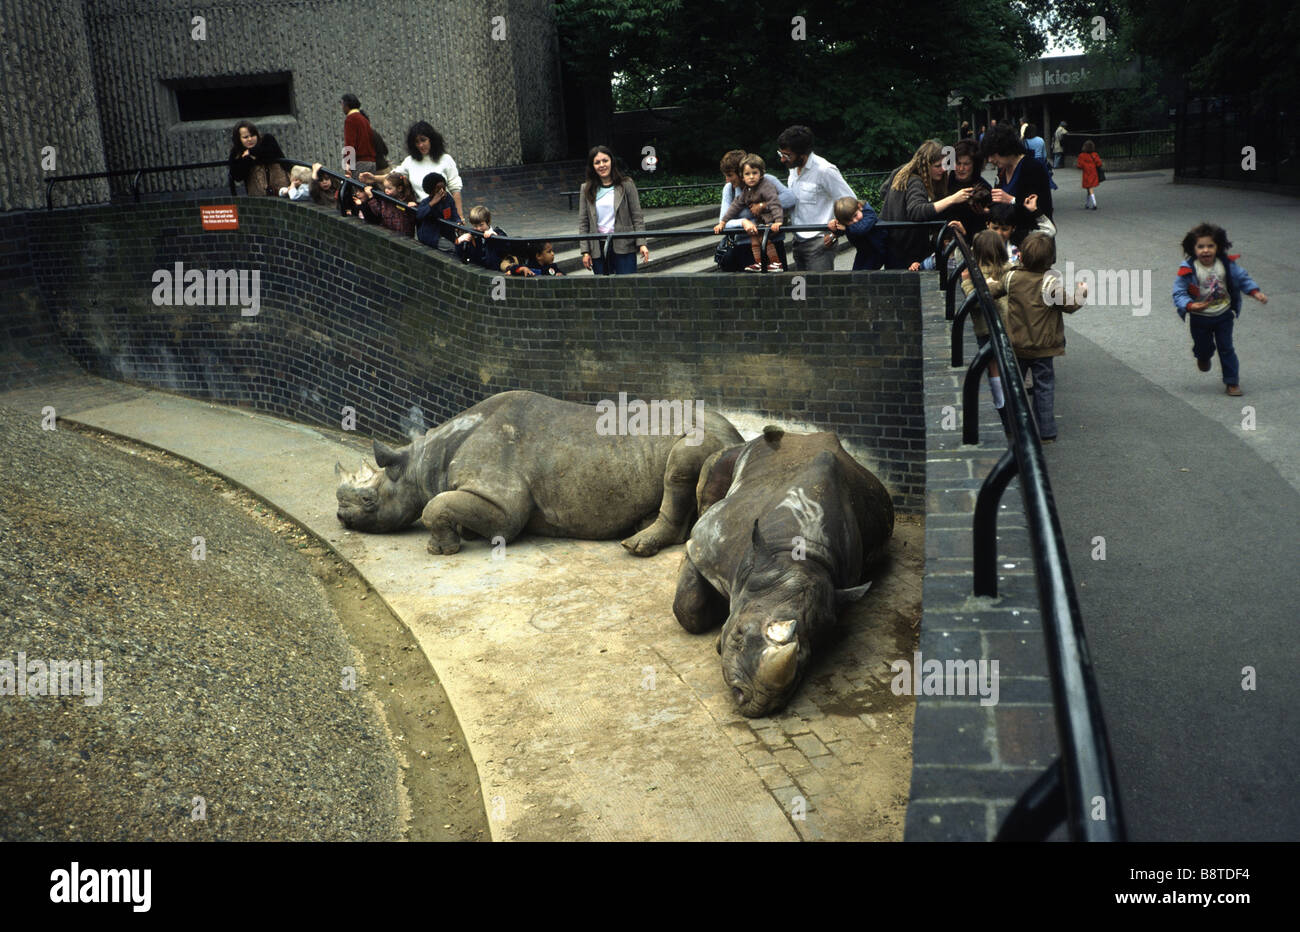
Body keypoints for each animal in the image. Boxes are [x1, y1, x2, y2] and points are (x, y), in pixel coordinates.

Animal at [335, 391, 742, 556]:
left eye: (369, 500)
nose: (341, 517)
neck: (423, 462)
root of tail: (738, 434)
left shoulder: (503, 503)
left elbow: (435, 506)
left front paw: (441, 549)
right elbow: (446, 503)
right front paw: (462, 533)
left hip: (706, 436)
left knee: (679, 468)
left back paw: (636, 544)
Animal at [672, 428, 894, 717]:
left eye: (807, 658)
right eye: (739, 635)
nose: (758, 703)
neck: (793, 556)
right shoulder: (705, 544)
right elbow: (688, 608)